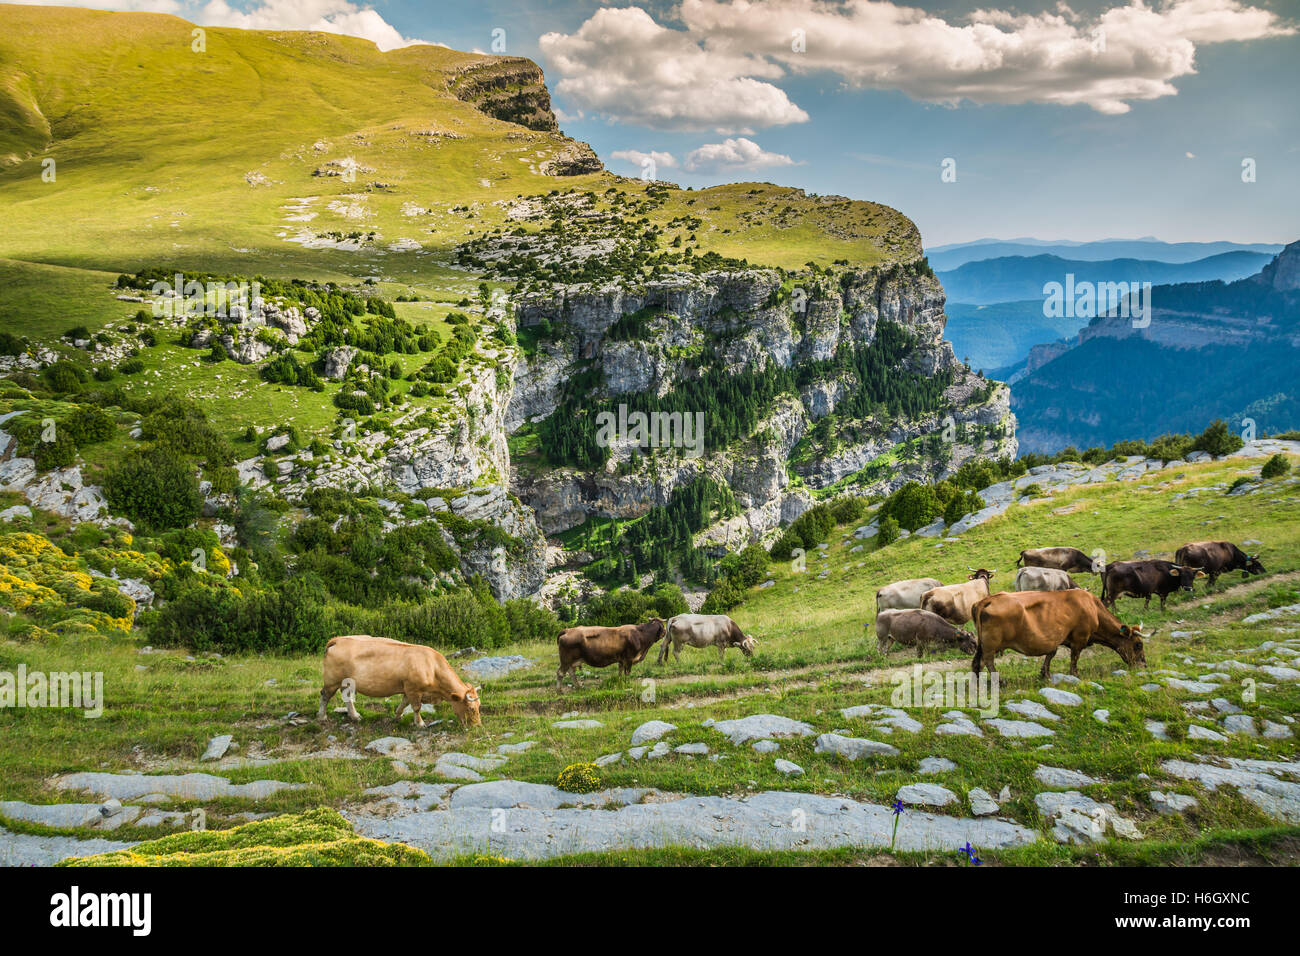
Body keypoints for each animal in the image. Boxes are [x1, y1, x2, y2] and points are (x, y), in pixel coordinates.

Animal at [318, 635, 481, 728]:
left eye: (479, 706)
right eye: (471, 709)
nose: (477, 726)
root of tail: (338, 640)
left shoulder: (408, 688)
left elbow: (404, 704)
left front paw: (397, 717)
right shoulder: (413, 689)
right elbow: (416, 707)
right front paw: (420, 723)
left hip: (347, 682)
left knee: (347, 697)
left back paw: (355, 716)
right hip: (332, 680)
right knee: (325, 695)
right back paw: (322, 717)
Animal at [972, 589, 1148, 679]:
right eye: (1138, 644)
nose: (1144, 665)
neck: (1093, 608)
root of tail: (988, 599)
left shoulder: (1056, 638)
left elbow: (1051, 654)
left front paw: (1045, 673)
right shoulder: (1079, 638)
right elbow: (1074, 657)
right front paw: (1074, 674)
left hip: (983, 644)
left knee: (977, 663)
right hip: (991, 644)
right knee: (987, 661)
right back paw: (1000, 681)